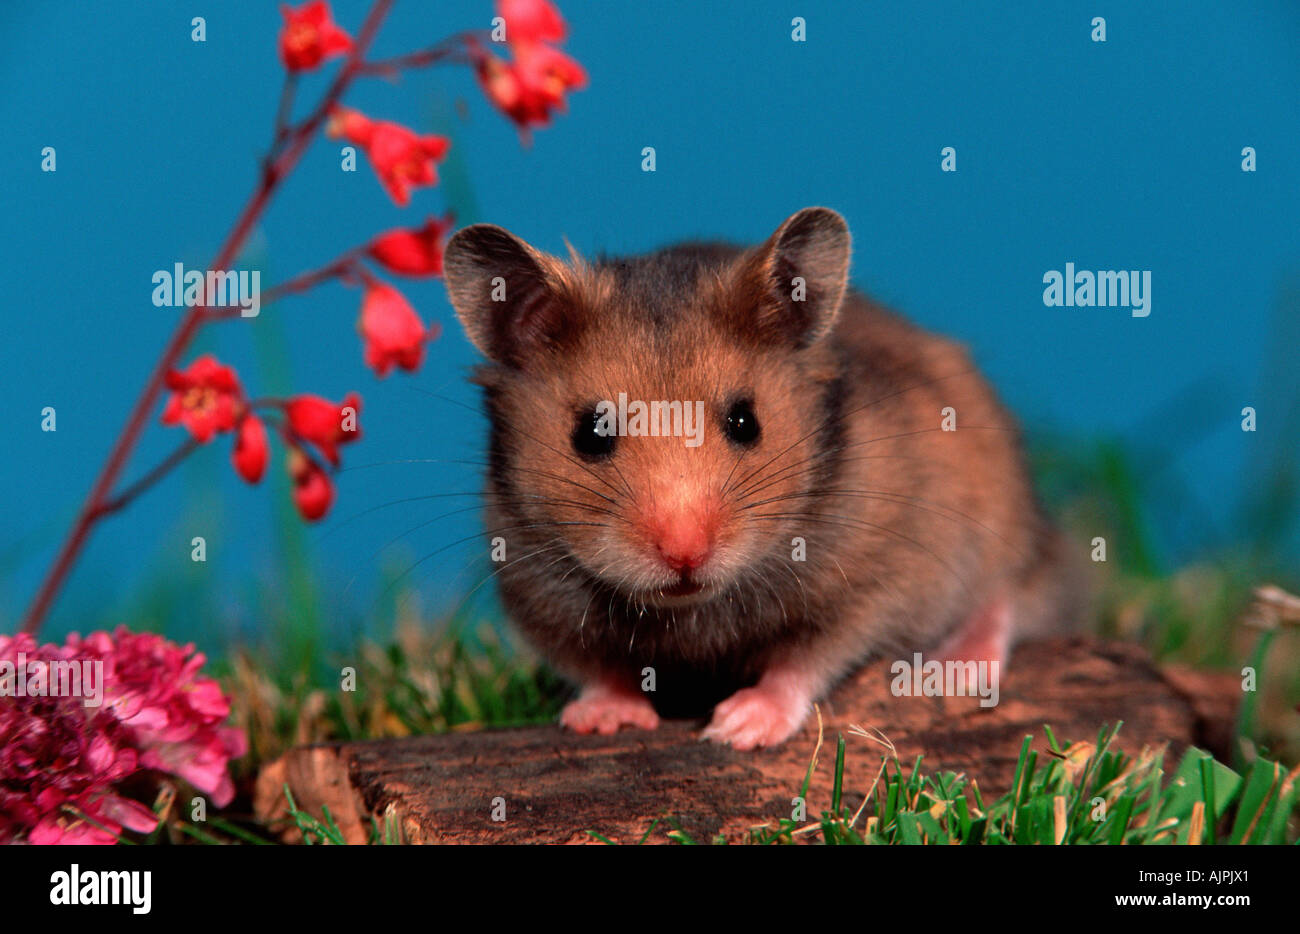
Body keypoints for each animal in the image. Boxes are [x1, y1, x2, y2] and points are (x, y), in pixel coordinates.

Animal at [441, 207, 1084, 749]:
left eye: (745, 421)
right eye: (591, 432)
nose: (685, 555)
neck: (691, 611)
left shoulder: (876, 579)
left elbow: (807, 658)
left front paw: (737, 729)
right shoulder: (532, 585)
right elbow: (595, 667)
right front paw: (602, 719)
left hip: (1000, 509)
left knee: (1010, 590)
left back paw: (956, 669)